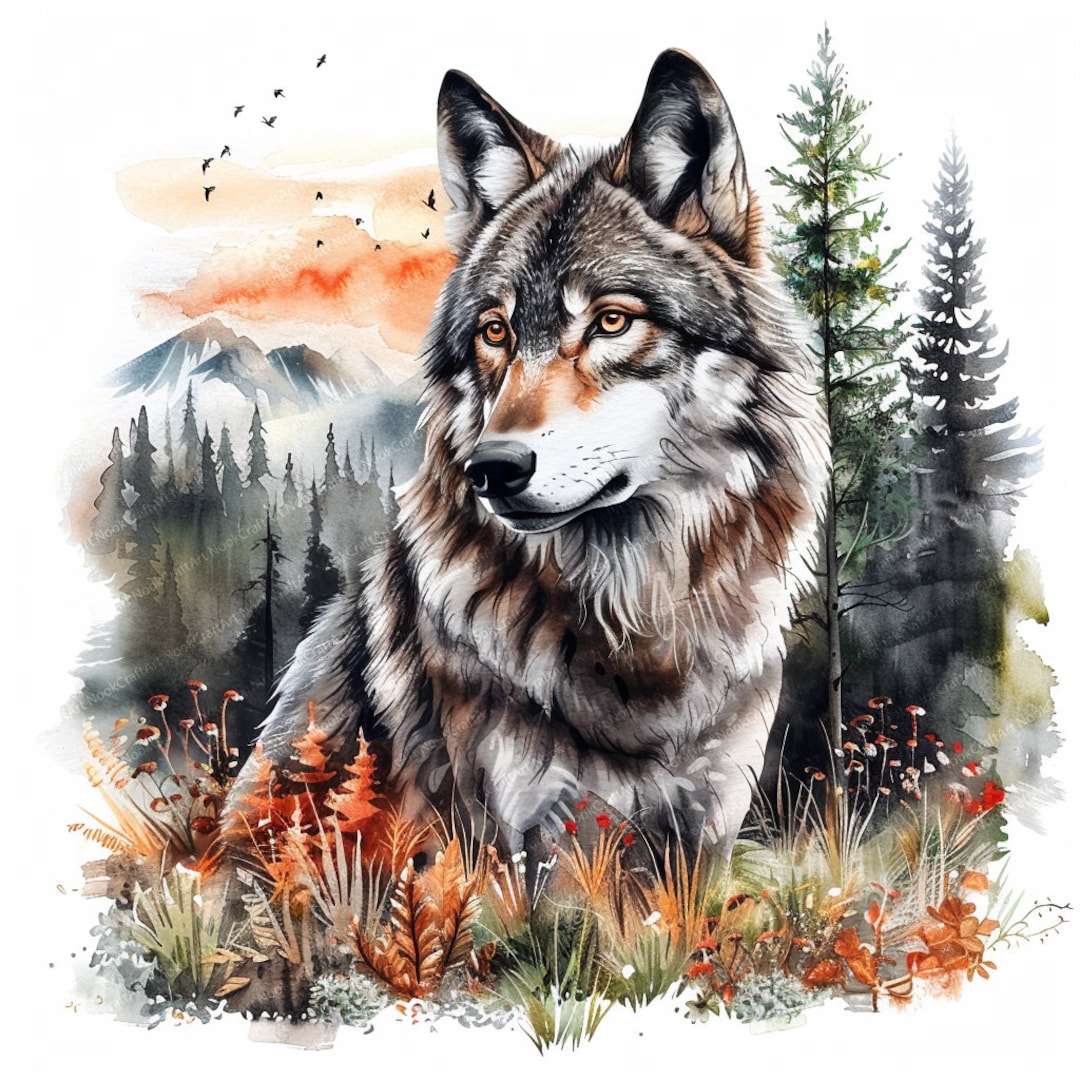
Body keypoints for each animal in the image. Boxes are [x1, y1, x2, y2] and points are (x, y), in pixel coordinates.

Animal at [228, 50, 829, 864]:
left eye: (611, 322)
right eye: (496, 331)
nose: (492, 470)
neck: (632, 626)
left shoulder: (704, 833)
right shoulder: (513, 840)